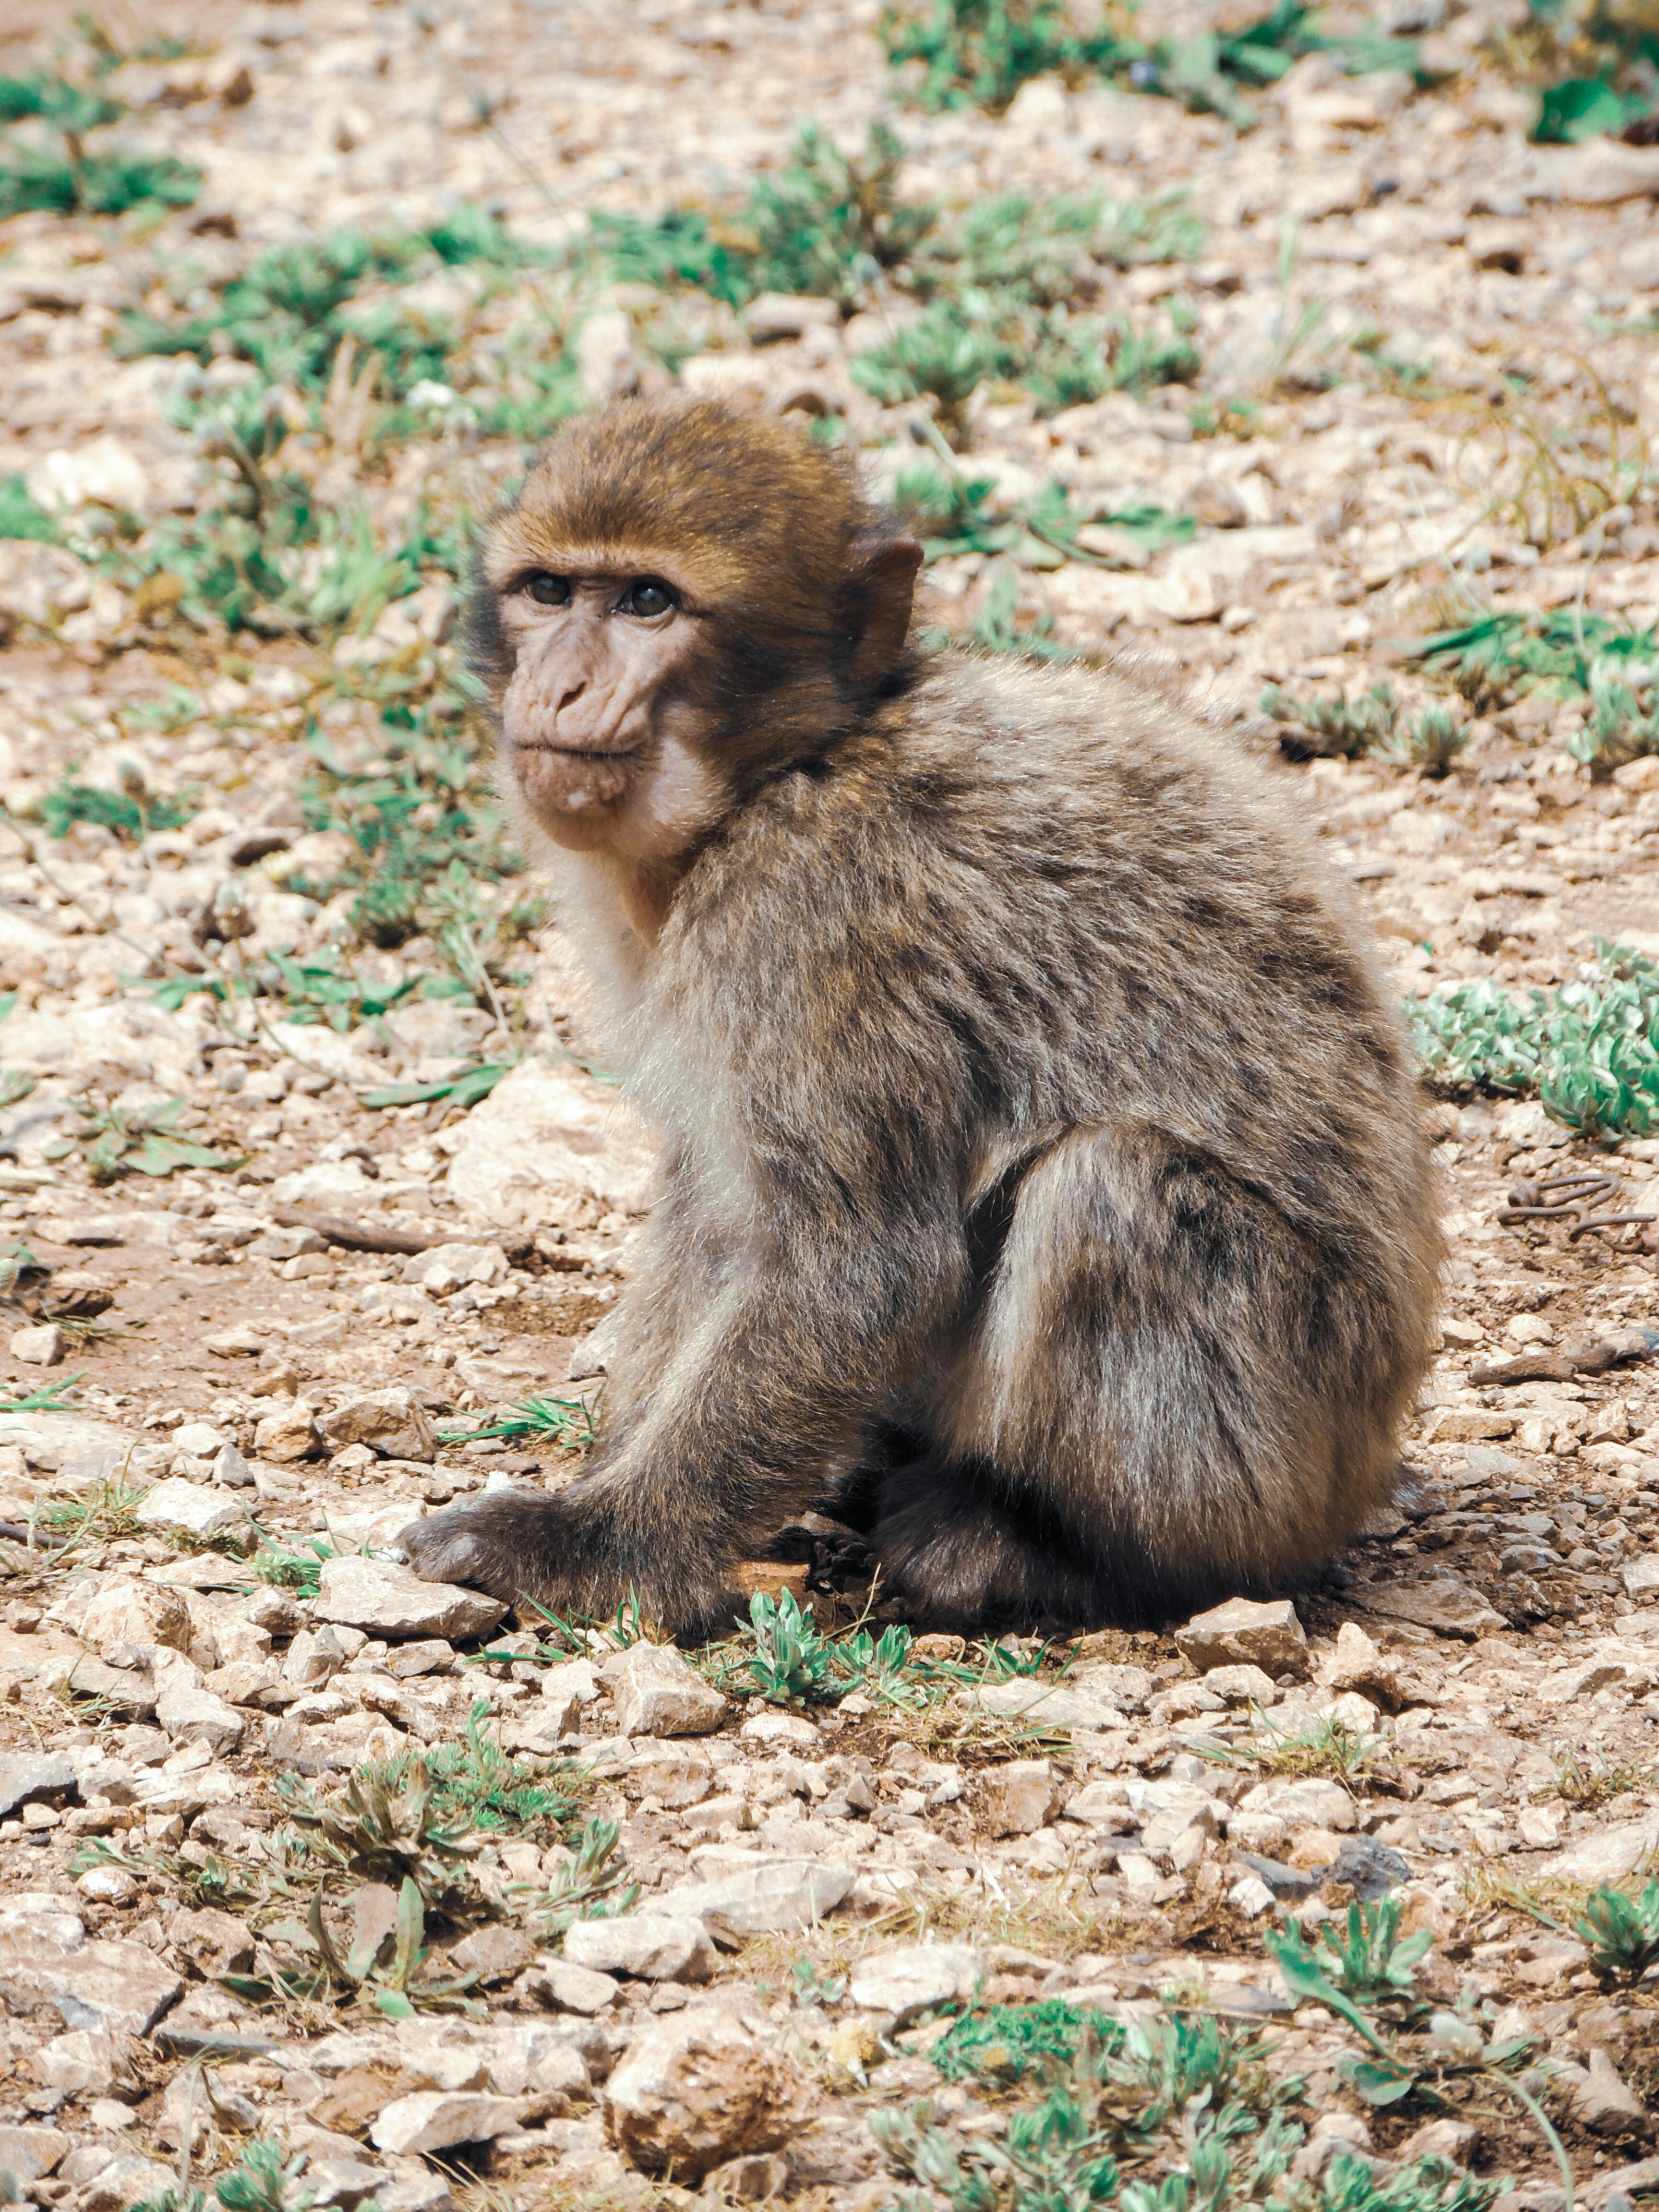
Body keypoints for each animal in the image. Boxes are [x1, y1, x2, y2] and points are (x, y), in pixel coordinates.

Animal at [393, 393, 1441, 1638]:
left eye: (649, 601)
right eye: (549, 591)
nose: (554, 687)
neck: (790, 767)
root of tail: (1365, 1460)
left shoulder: (815, 913)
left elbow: (860, 1272)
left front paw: (591, 1541)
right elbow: (717, 1213)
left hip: (1279, 1449)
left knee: (1111, 1188)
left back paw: (1060, 1556)